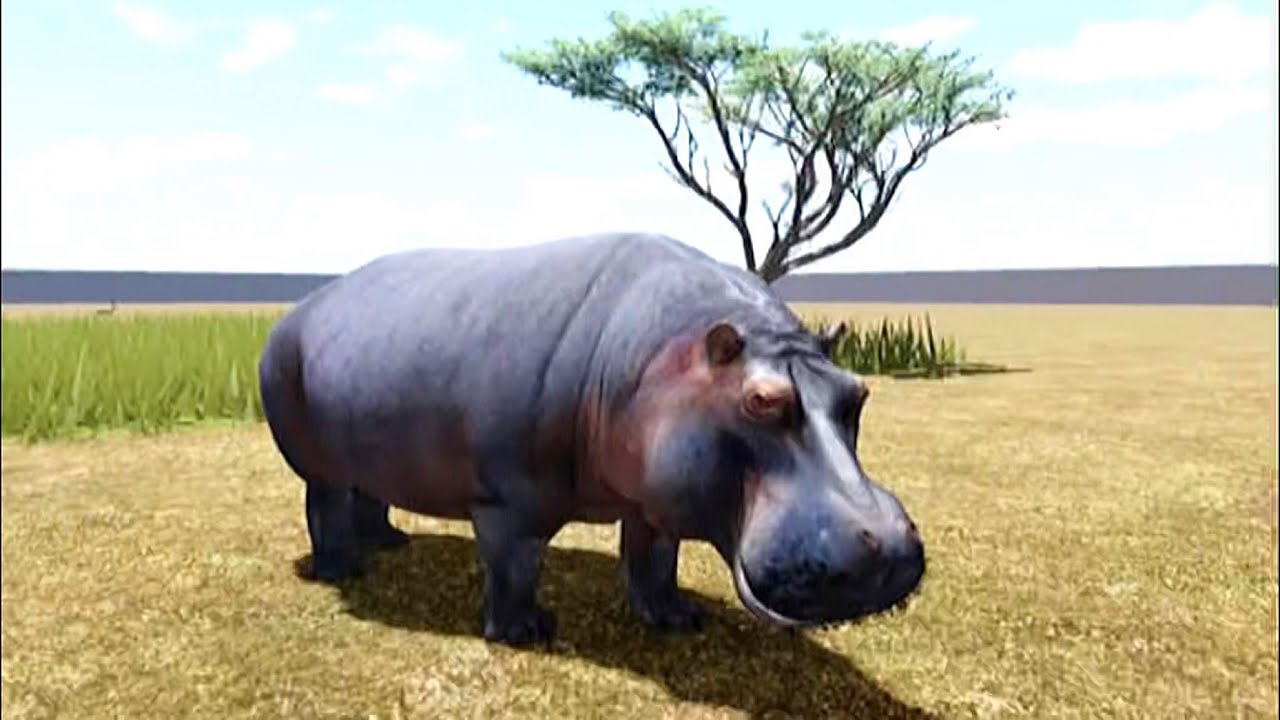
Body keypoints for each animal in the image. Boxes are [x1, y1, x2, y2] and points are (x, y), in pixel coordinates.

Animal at [258, 232, 925, 646]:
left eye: (858, 391)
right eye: (761, 401)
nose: (890, 552)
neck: (665, 358)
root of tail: (300, 309)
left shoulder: (655, 499)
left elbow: (654, 560)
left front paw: (676, 619)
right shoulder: (510, 502)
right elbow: (515, 567)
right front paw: (527, 634)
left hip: (372, 443)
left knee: (370, 493)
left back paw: (390, 544)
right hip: (314, 456)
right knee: (325, 504)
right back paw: (343, 572)